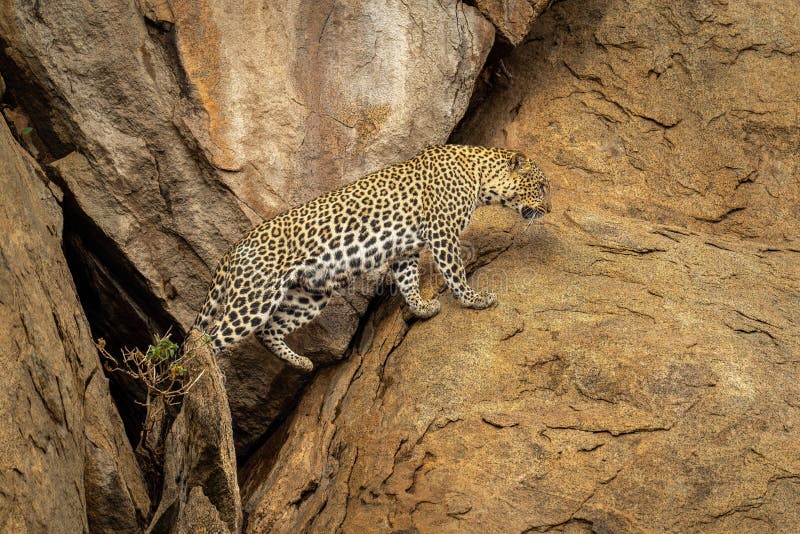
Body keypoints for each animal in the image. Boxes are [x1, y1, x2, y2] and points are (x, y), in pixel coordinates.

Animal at [192, 144, 552, 371]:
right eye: (542, 186)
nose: (549, 210)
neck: (480, 176)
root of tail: (233, 249)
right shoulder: (442, 230)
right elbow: (454, 270)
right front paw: (474, 299)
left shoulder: (406, 248)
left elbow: (407, 280)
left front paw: (421, 308)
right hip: (255, 297)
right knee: (203, 341)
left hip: (308, 295)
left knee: (268, 332)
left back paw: (302, 363)